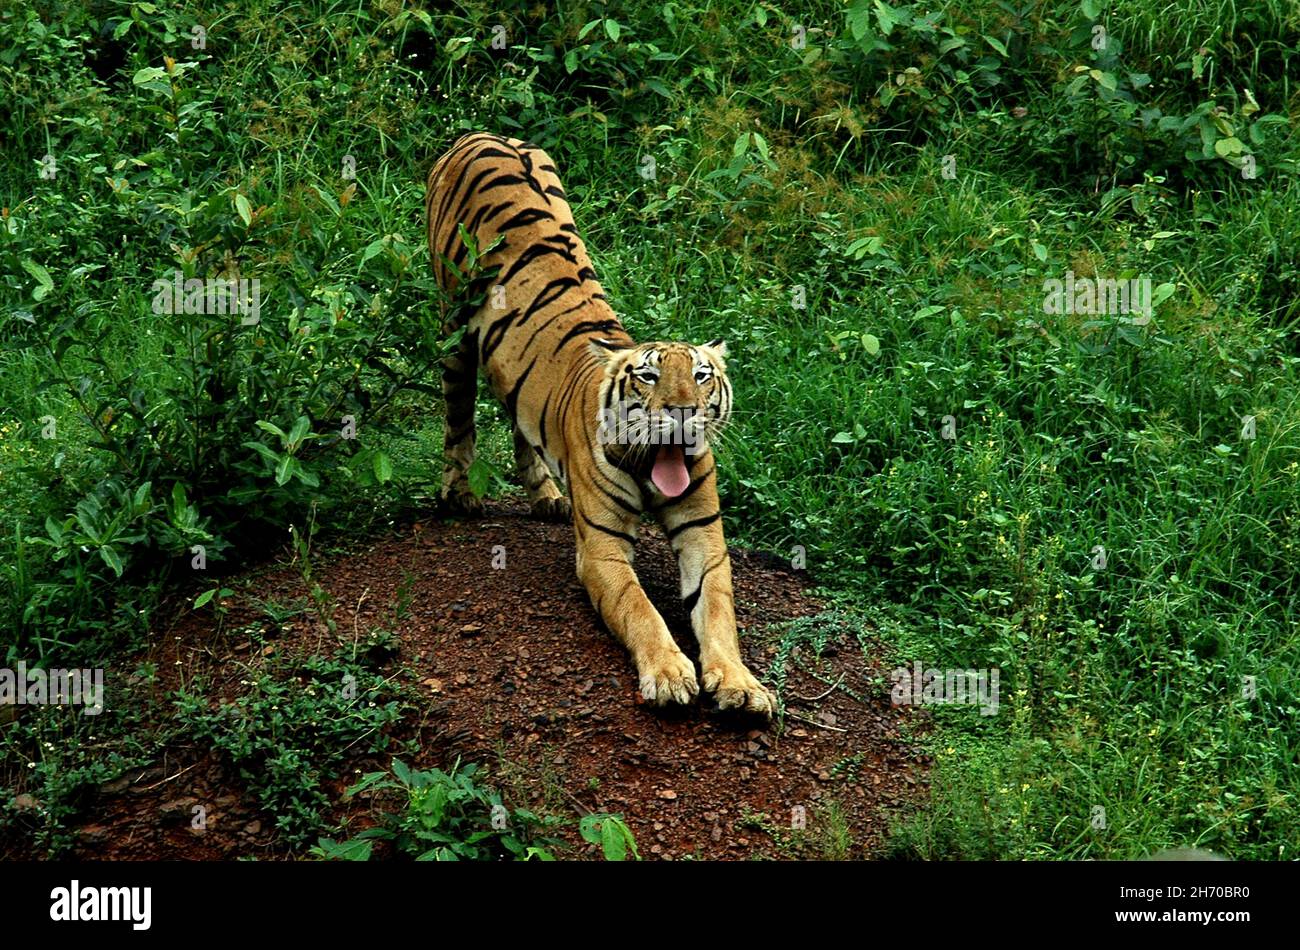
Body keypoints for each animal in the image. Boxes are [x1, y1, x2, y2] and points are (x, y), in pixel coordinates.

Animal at [425, 132, 775, 716]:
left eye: (701, 376)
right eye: (649, 377)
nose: (683, 411)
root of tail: (478, 134)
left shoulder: (705, 539)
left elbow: (718, 613)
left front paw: (740, 684)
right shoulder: (602, 549)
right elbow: (640, 608)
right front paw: (669, 675)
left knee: (519, 420)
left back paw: (546, 496)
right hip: (453, 321)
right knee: (458, 412)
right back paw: (460, 493)